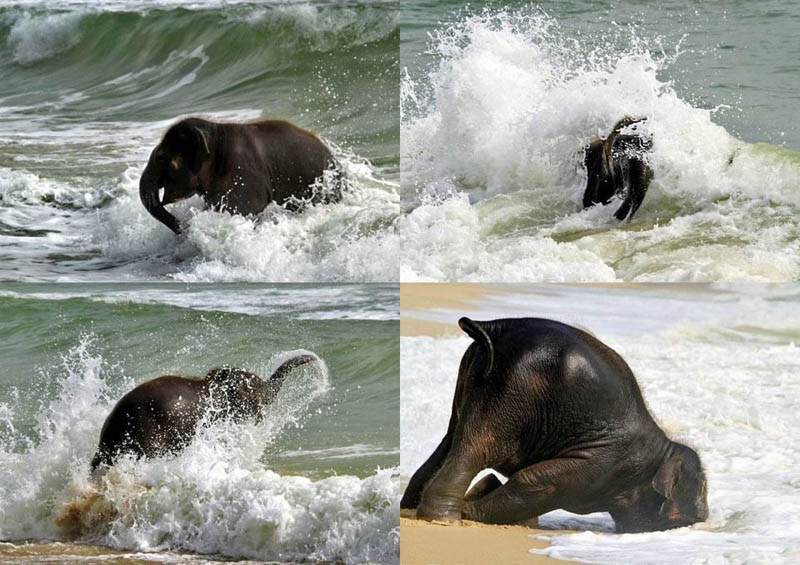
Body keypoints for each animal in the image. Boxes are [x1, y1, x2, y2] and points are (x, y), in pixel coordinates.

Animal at [401, 317, 708, 533]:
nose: (705, 516)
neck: (663, 449)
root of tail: (495, 328)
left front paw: (486, 494)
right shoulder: (603, 465)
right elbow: (537, 482)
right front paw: (472, 506)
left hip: (475, 378)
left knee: (451, 439)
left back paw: (411, 509)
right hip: (513, 390)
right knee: (478, 446)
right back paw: (445, 518)